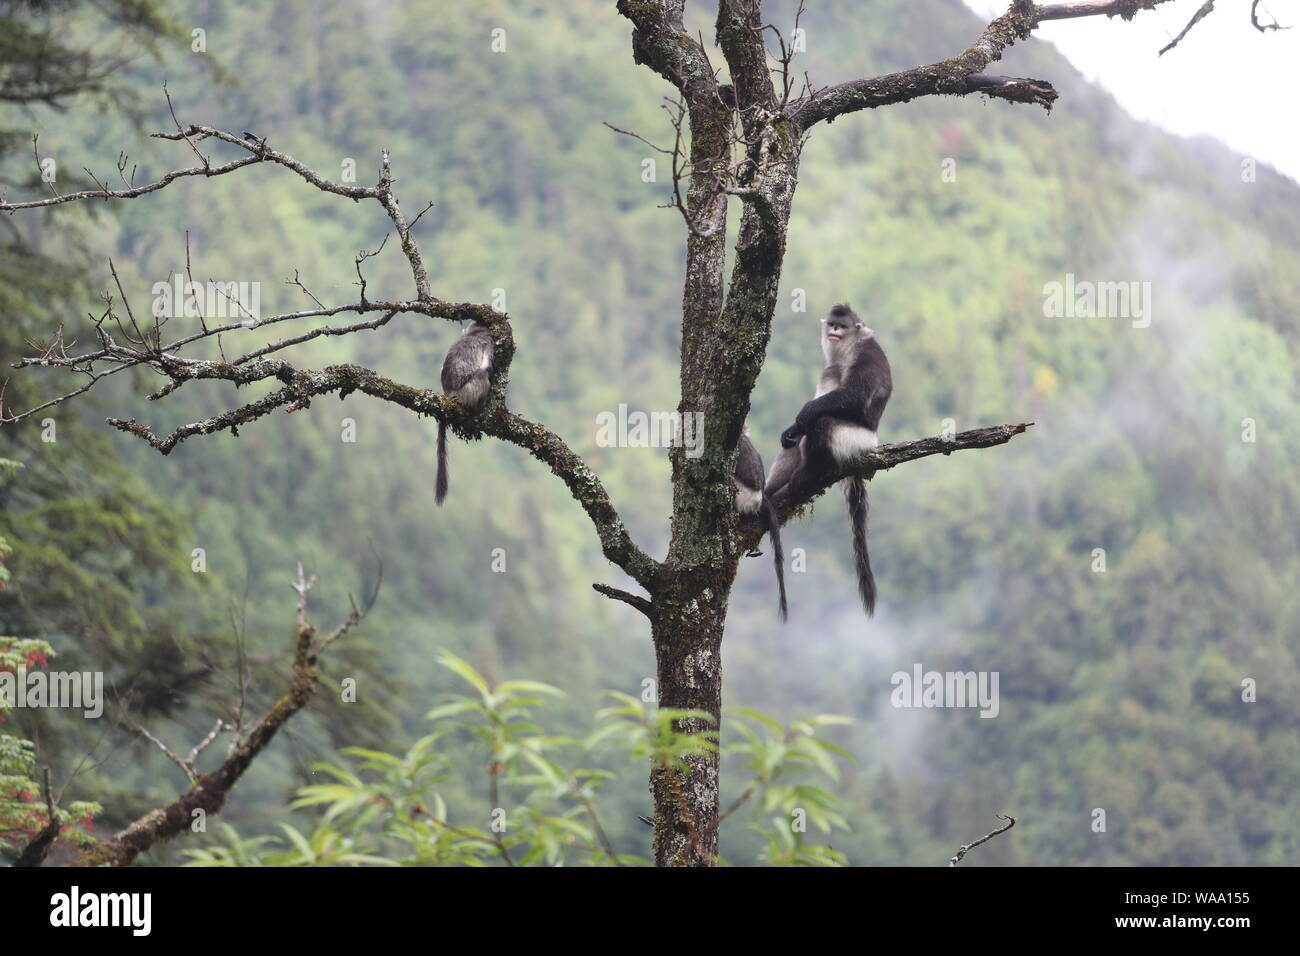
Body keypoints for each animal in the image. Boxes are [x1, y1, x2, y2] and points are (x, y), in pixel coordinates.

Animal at [436, 320, 495, 505]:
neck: (474, 332)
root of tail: (449, 394)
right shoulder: (488, 342)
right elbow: (487, 365)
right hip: (468, 391)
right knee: (483, 374)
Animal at [765, 304, 891, 616]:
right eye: (832, 324)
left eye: (842, 326)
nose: (833, 331)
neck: (848, 347)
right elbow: (794, 434)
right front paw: (791, 429)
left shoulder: (868, 352)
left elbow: (855, 395)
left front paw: (803, 414)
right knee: (796, 443)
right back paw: (770, 492)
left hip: (856, 441)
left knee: (823, 422)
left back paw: (810, 473)